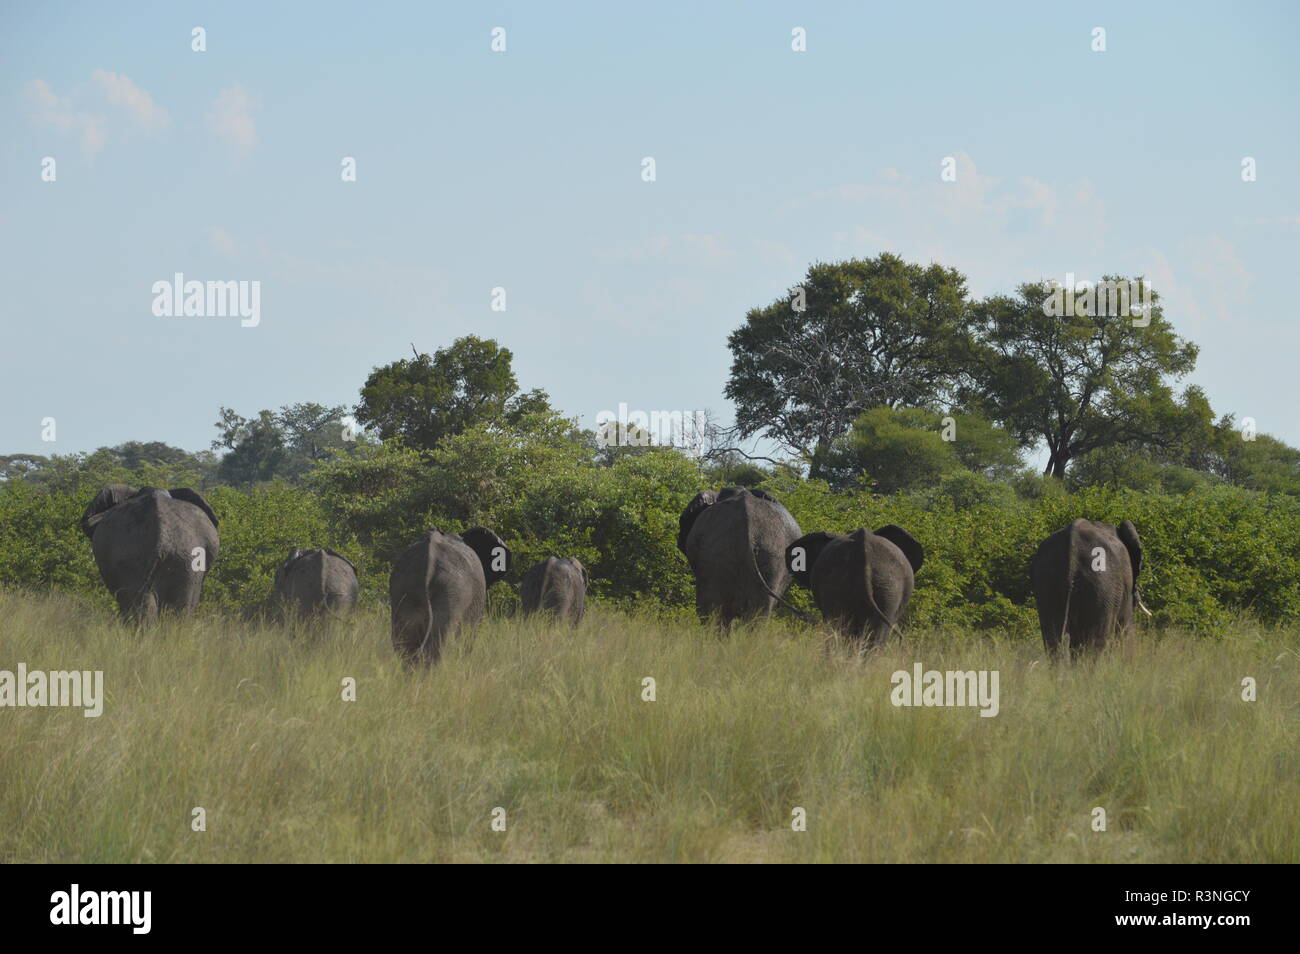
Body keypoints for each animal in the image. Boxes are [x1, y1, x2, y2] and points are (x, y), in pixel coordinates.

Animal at [1031, 518, 1147, 655]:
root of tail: (1072, 548)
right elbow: (1125, 628)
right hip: (1102, 586)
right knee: (1096, 641)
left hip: (1047, 581)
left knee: (1053, 640)